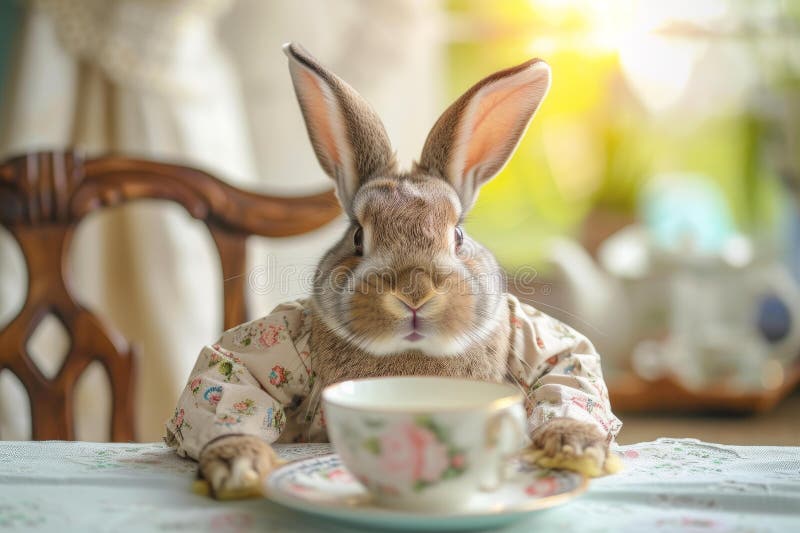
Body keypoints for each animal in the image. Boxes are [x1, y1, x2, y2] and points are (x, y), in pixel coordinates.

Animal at [189, 42, 620, 499]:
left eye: (458, 235)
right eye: (358, 237)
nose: (415, 294)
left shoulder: (537, 338)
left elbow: (569, 371)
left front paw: (577, 445)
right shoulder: (276, 339)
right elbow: (230, 375)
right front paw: (237, 460)